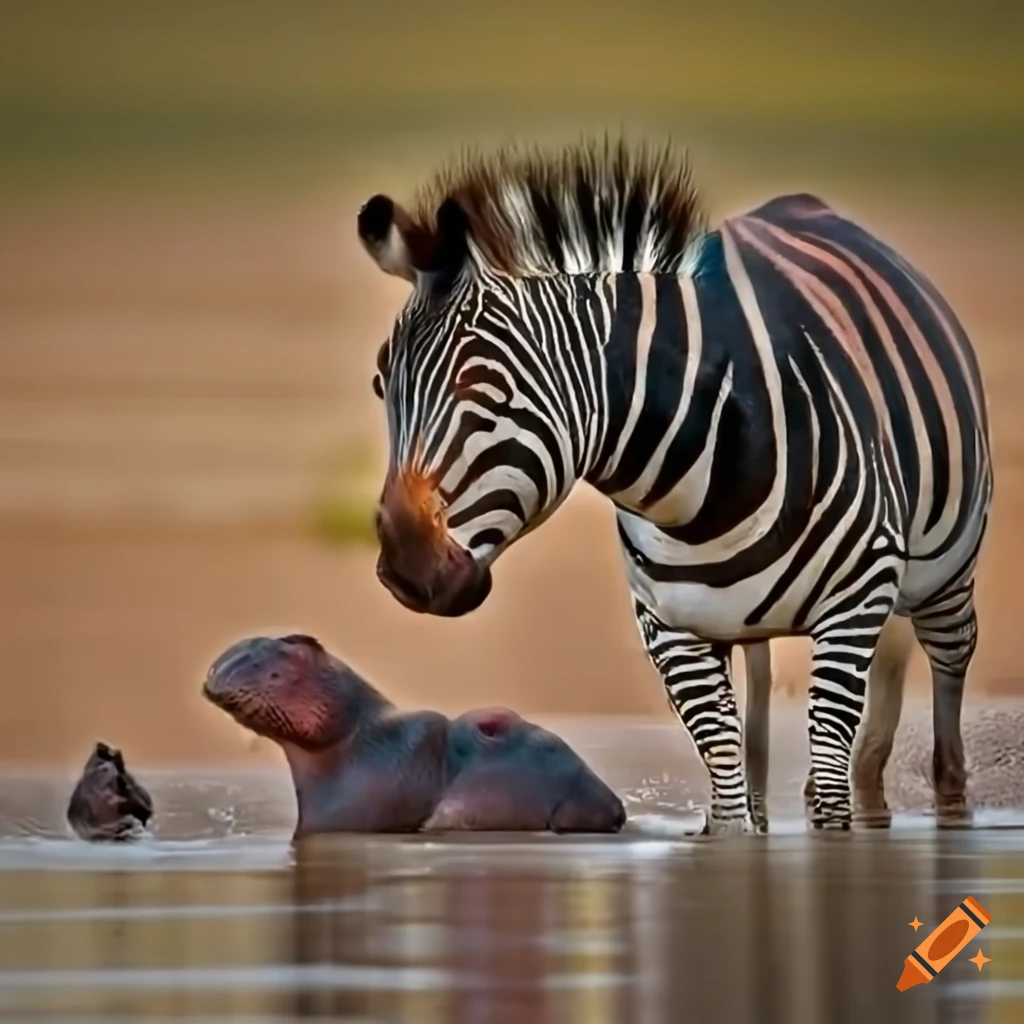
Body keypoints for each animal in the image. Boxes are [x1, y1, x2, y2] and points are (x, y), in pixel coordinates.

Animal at [355, 138, 993, 833]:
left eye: (482, 386)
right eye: (380, 386)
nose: (406, 567)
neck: (704, 491)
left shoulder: (855, 603)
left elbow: (829, 794)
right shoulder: (671, 628)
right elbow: (726, 793)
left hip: (945, 575)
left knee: (947, 674)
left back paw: (947, 801)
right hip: (746, 621)